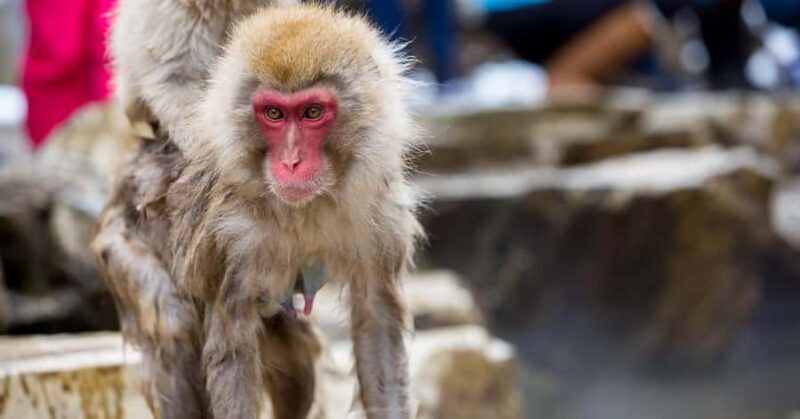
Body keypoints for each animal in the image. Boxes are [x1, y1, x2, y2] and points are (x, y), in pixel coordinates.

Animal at [93, 4, 423, 419]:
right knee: (173, 322)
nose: (292, 162)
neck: (309, 205)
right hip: (120, 244)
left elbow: (376, 320)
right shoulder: (229, 236)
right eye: (274, 114)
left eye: (313, 112)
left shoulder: (381, 217)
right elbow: (232, 344)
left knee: (295, 353)